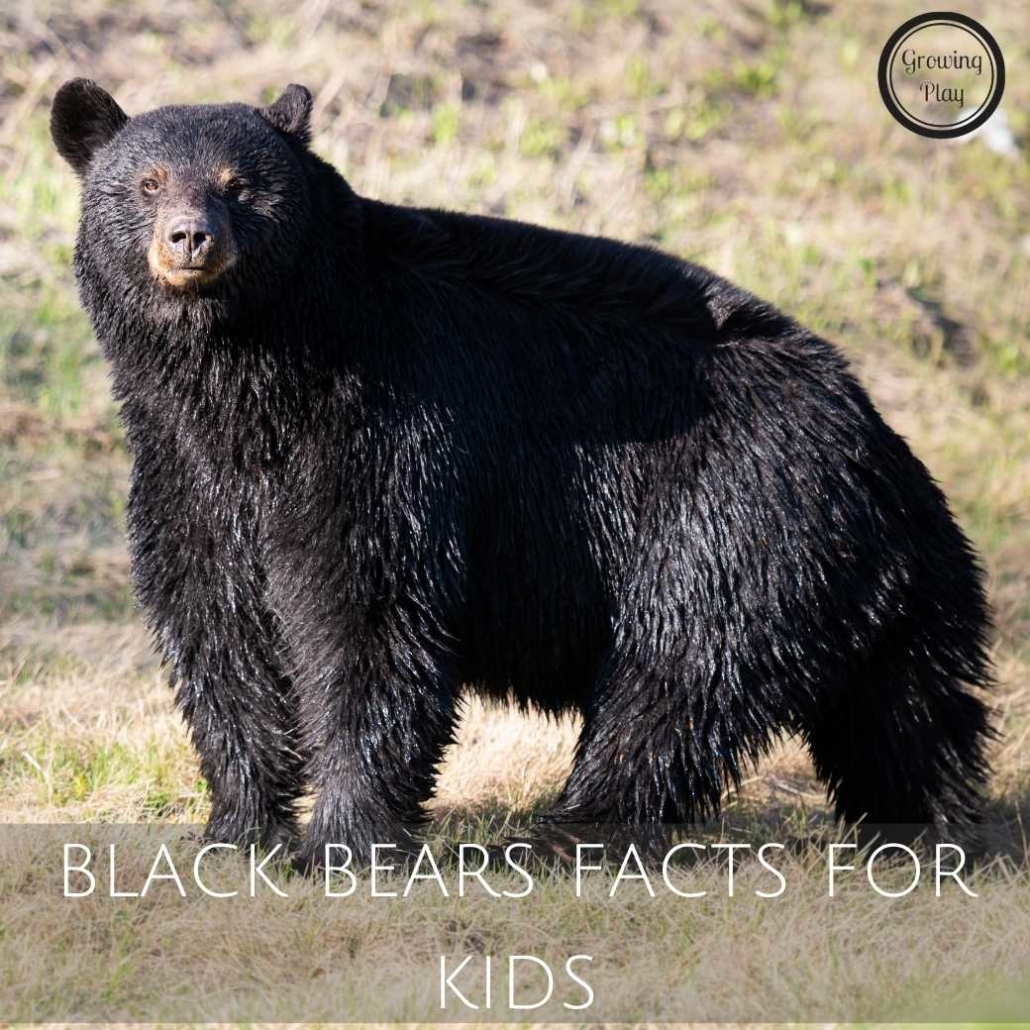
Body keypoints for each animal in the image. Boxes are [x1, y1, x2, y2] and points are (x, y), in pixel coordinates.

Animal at [50, 79, 992, 868]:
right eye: (147, 183)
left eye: (240, 184)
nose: (190, 238)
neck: (250, 384)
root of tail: (877, 442)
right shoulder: (186, 471)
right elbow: (217, 626)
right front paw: (236, 829)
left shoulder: (385, 431)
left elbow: (369, 612)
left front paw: (343, 841)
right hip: (886, 587)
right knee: (909, 714)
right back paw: (937, 837)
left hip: (729, 516)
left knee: (673, 678)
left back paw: (568, 832)